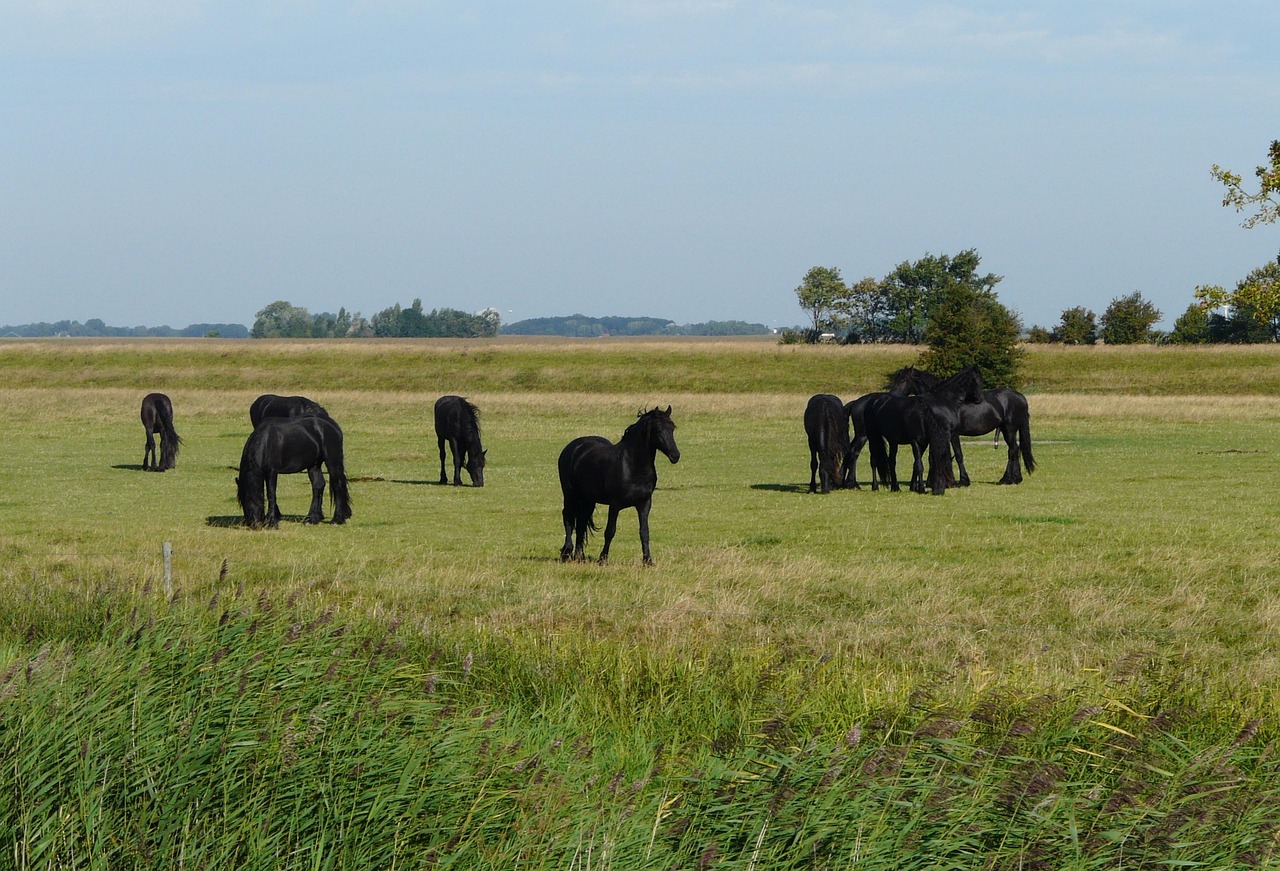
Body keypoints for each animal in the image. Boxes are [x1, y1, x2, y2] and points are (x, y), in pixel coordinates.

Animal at [558, 406, 680, 566]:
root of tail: (572, 447)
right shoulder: (615, 504)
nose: (675, 456)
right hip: (570, 495)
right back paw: (566, 553)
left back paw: (580, 556)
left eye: (672, 428)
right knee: (569, 518)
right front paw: (603, 559)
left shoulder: (644, 503)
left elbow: (644, 532)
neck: (631, 466)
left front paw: (648, 560)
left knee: (581, 522)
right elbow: (610, 531)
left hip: (588, 499)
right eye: (658, 429)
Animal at [865, 366, 984, 495]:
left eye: (903, 380)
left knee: (891, 461)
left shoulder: (941, 436)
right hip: (875, 439)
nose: (980, 399)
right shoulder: (945, 434)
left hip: (893, 441)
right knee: (874, 460)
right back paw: (876, 486)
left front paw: (917, 485)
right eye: (979, 380)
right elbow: (938, 458)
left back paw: (895, 487)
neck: (944, 401)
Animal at [888, 367, 1036, 485]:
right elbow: (933, 456)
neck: (944, 401)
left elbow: (958, 455)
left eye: (903, 380)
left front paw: (962, 481)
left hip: (1010, 430)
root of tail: (1021, 397)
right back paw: (1015, 478)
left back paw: (1007, 479)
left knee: (1013, 450)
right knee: (1015, 449)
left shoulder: (953, 434)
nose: (892, 395)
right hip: (1007, 430)